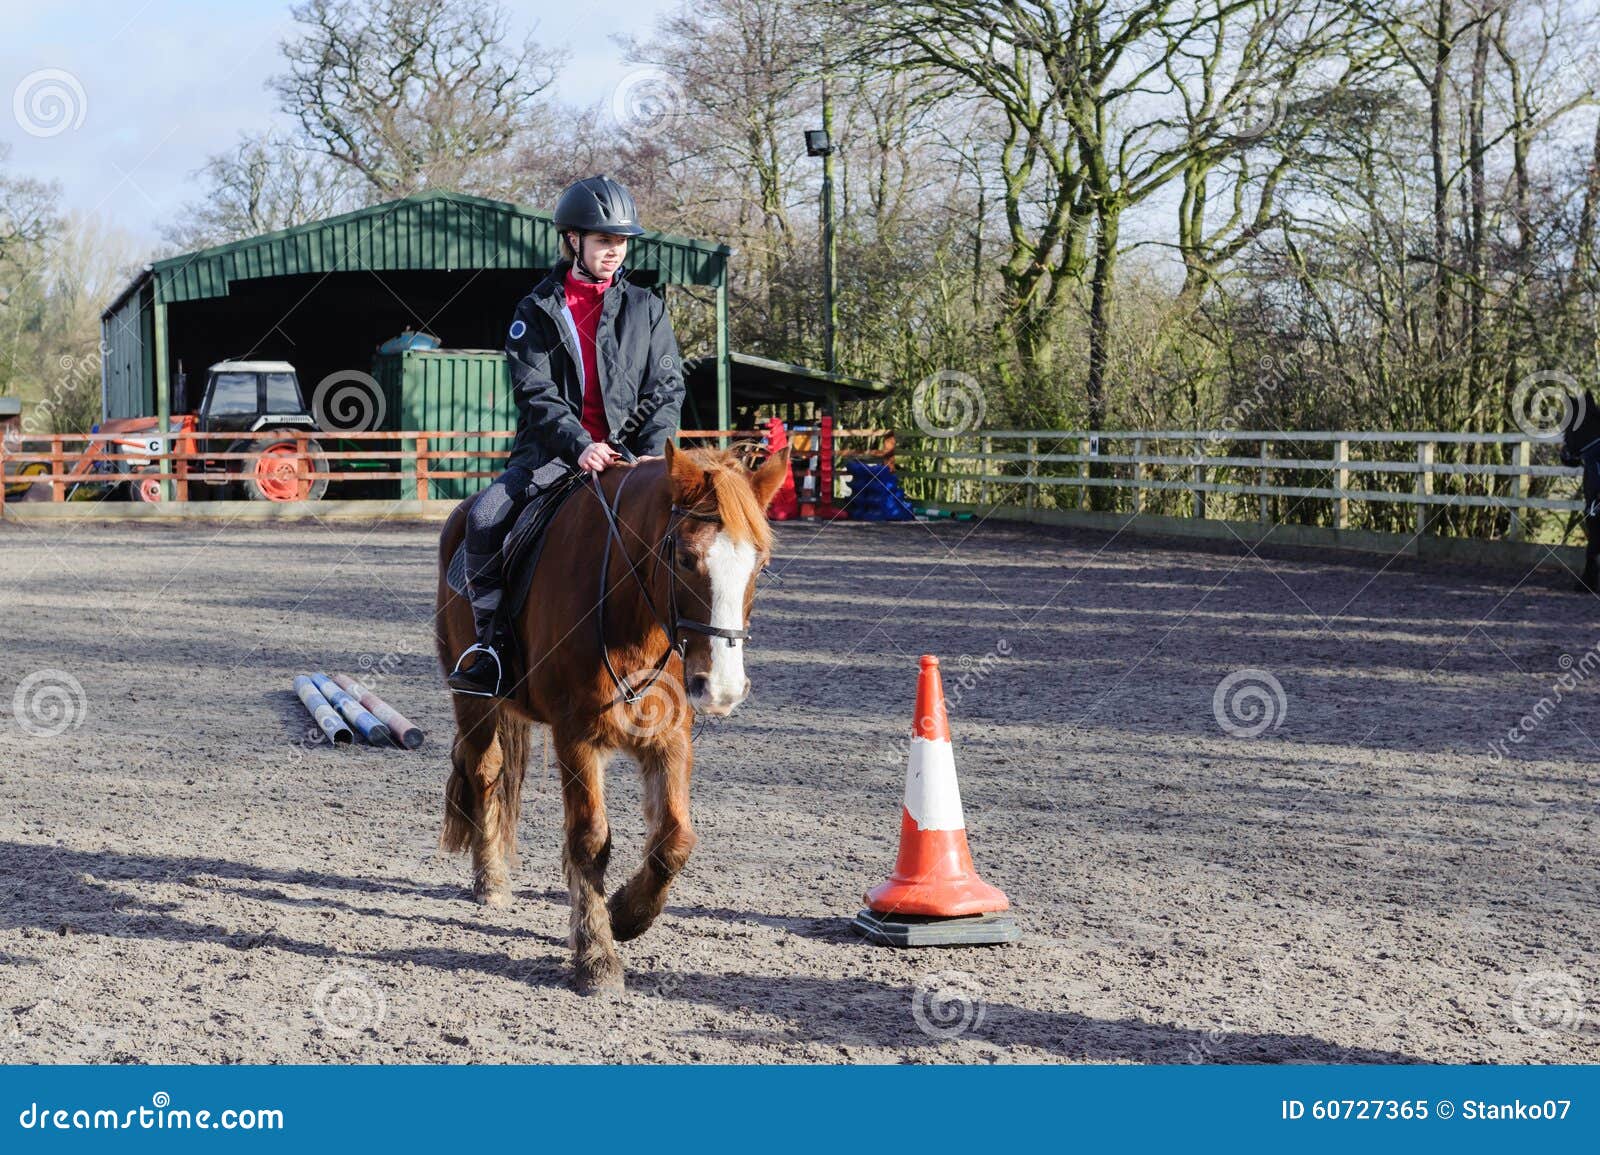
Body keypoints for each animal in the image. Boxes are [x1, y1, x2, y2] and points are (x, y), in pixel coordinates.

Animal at [434, 442, 791, 993]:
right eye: (685, 559)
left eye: (761, 563)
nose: (723, 689)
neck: (630, 612)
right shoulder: (576, 737)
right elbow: (590, 841)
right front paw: (597, 957)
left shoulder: (671, 737)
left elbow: (675, 839)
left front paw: (627, 914)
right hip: (474, 699)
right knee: (485, 773)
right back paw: (490, 880)